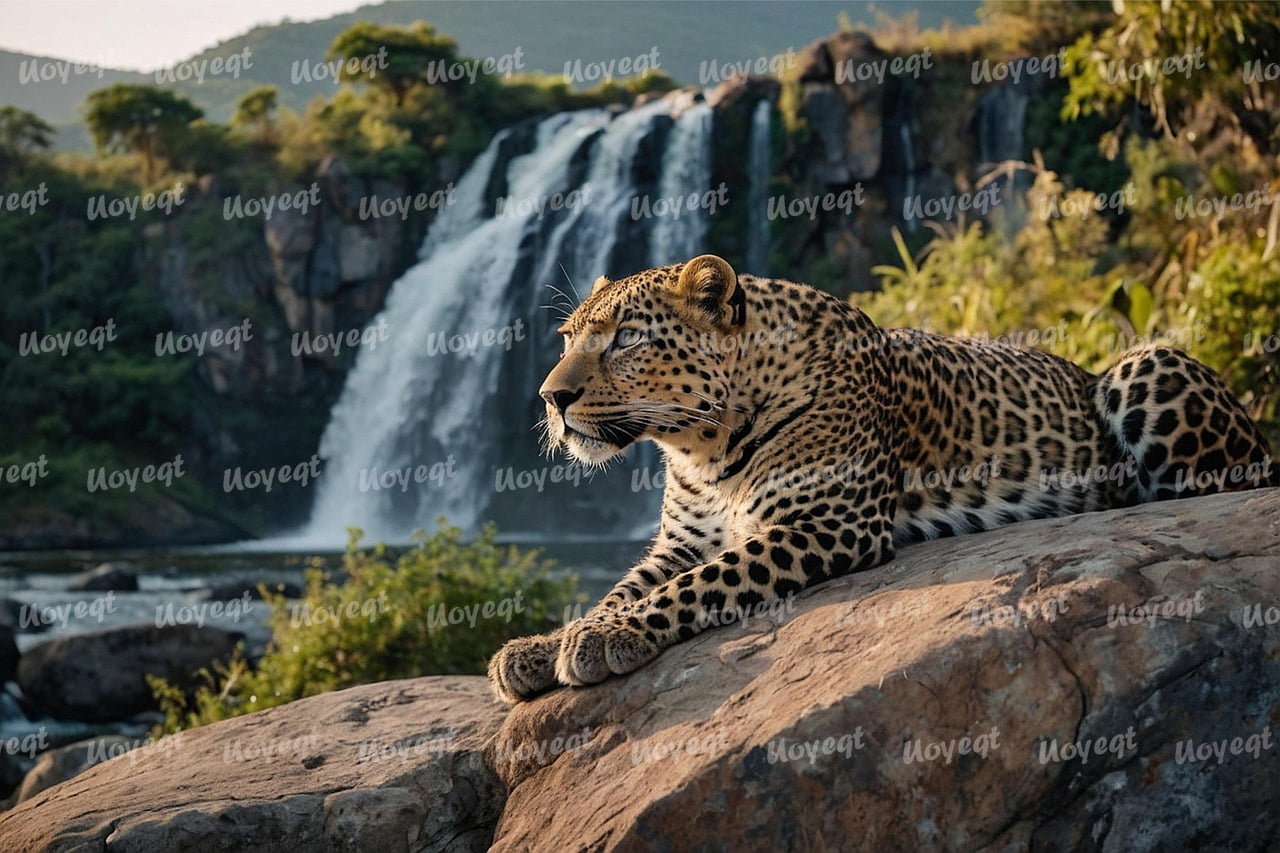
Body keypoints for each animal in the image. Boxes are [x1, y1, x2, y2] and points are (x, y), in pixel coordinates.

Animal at [488, 254, 1276, 704]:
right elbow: (623, 586)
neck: (699, 446)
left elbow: (700, 585)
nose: (551, 398)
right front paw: (543, 645)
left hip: (1143, 367)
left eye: (628, 338)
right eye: (568, 338)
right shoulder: (680, 541)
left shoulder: (826, 520)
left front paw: (606, 639)